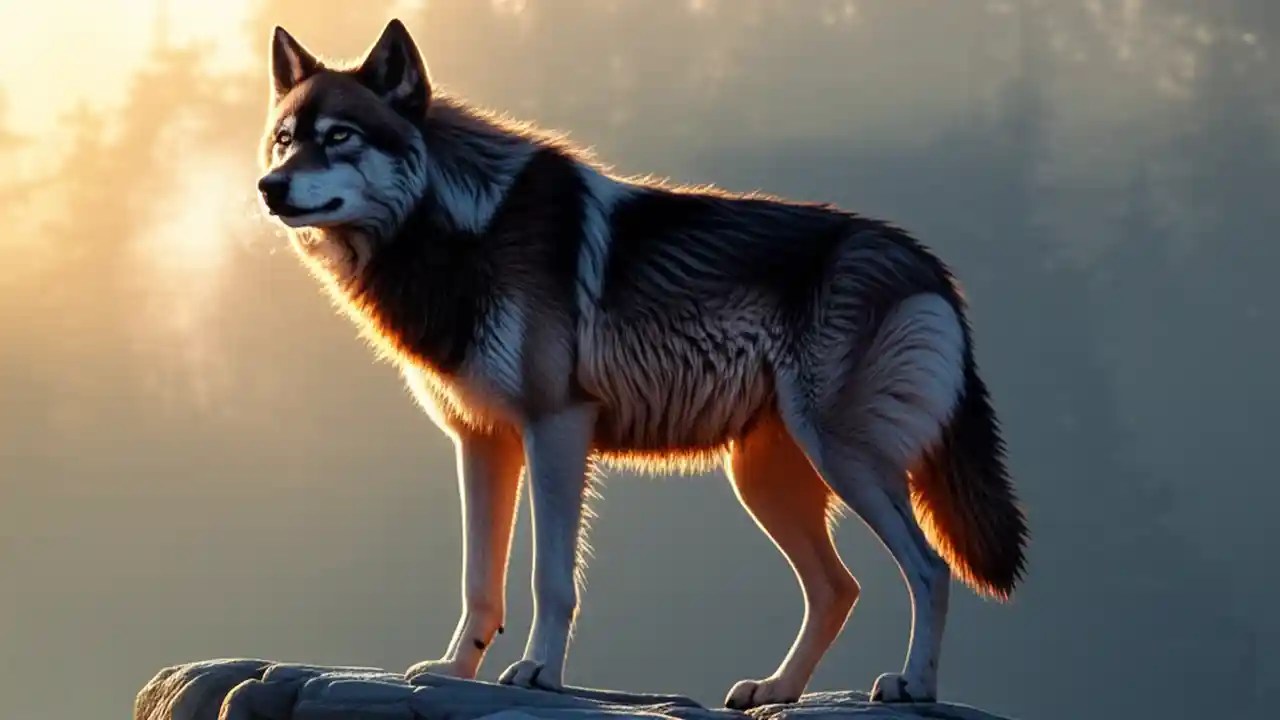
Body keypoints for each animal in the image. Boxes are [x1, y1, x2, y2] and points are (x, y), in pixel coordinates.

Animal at [256, 19, 1028, 709]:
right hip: (766, 480)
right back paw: (776, 690)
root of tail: (926, 263)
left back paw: (912, 687)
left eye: (340, 138)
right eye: (285, 139)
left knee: (929, 569)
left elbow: (549, 578)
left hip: (844, 461)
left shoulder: (556, 427)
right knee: (840, 589)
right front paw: (454, 671)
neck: (462, 229)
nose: (268, 186)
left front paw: (539, 672)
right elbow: (479, 583)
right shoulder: (481, 441)